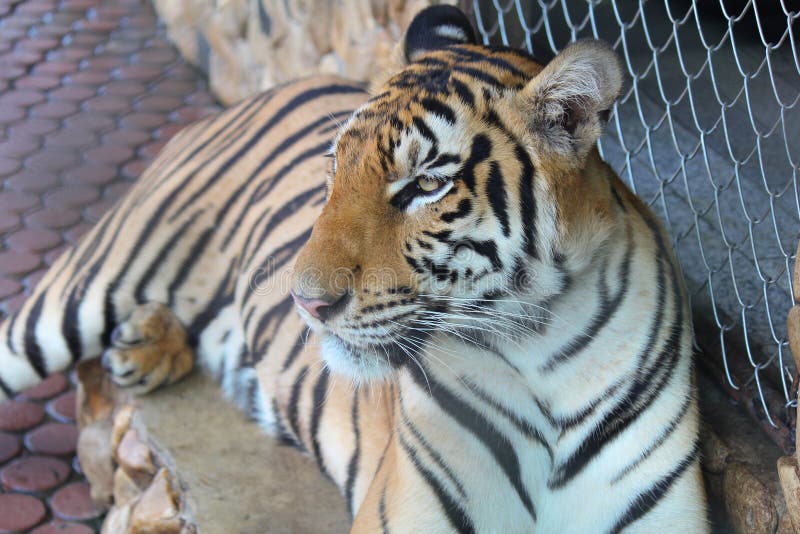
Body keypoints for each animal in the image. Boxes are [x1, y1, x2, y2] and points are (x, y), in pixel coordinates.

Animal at [0, 5, 707, 532]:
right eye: (334, 168)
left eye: (427, 185)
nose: (307, 304)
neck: (545, 357)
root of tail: (273, 86)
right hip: (77, 292)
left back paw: (143, 346)